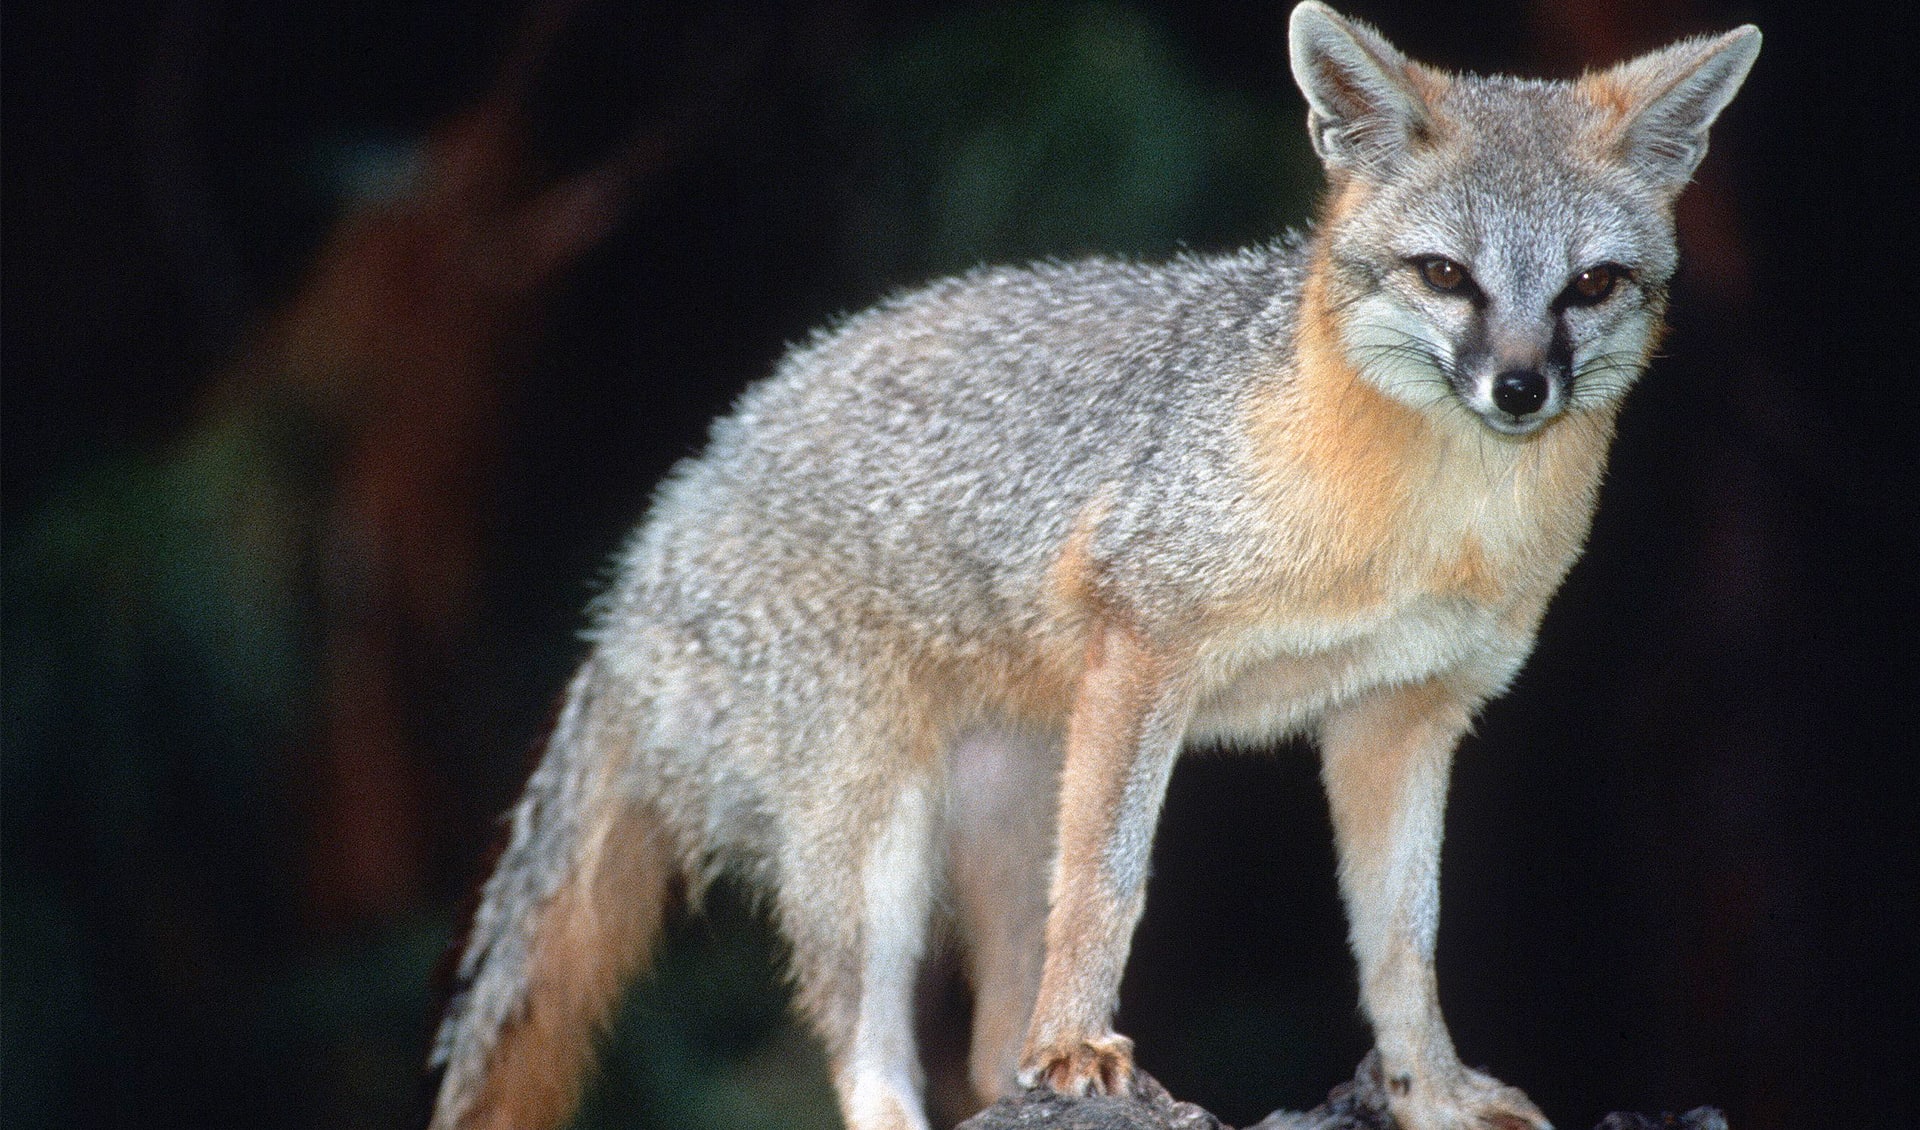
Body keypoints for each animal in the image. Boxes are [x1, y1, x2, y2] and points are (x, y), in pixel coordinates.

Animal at [427, 5, 1760, 1130]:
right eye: (1447, 275)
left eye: (1591, 286)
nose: (1521, 388)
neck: (1428, 522)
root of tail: (641, 562)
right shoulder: (1145, 644)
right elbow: (1113, 887)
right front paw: (1077, 1044)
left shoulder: (1402, 712)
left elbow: (1402, 941)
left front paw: (1427, 1087)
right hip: (873, 843)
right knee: (869, 1041)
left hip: (1011, 807)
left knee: (982, 1049)